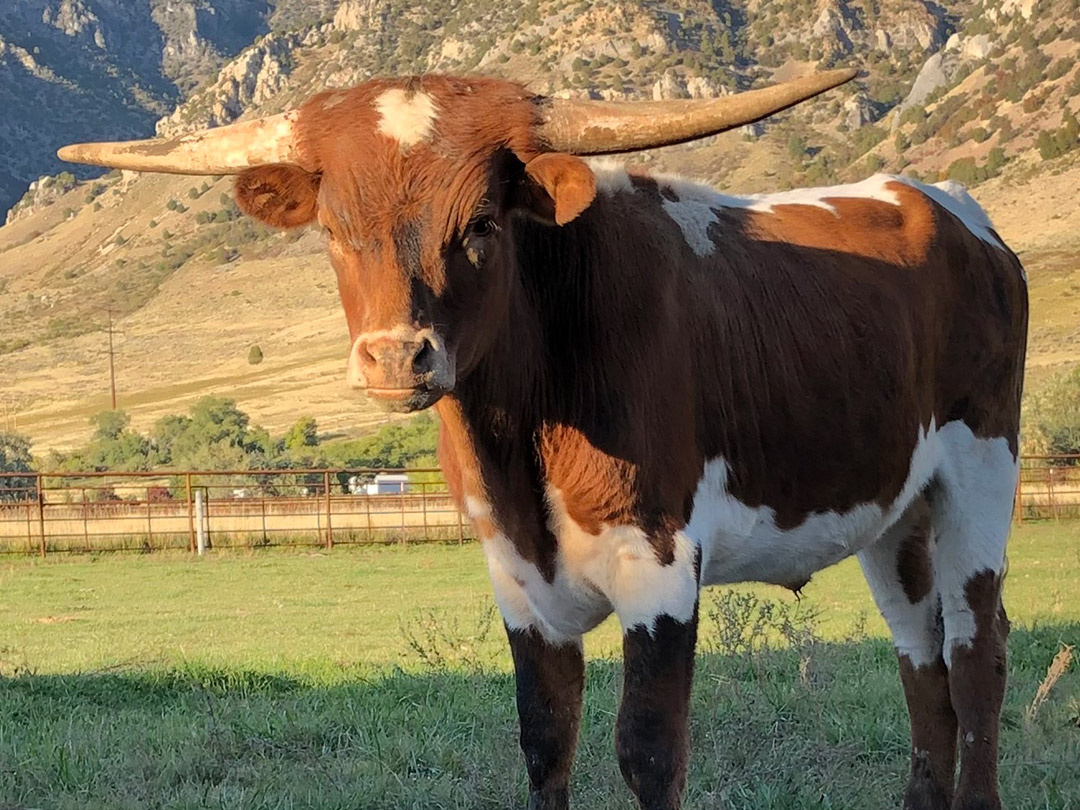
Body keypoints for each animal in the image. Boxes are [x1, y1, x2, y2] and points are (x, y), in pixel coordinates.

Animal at [59, 69, 1028, 810]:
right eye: (333, 232)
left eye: (481, 225)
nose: (395, 356)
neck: (524, 436)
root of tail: (945, 205)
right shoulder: (517, 579)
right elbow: (544, 738)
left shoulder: (659, 566)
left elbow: (648, 751)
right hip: (893, 513)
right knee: (922, 664)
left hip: (981, 477)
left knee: (977, 655)